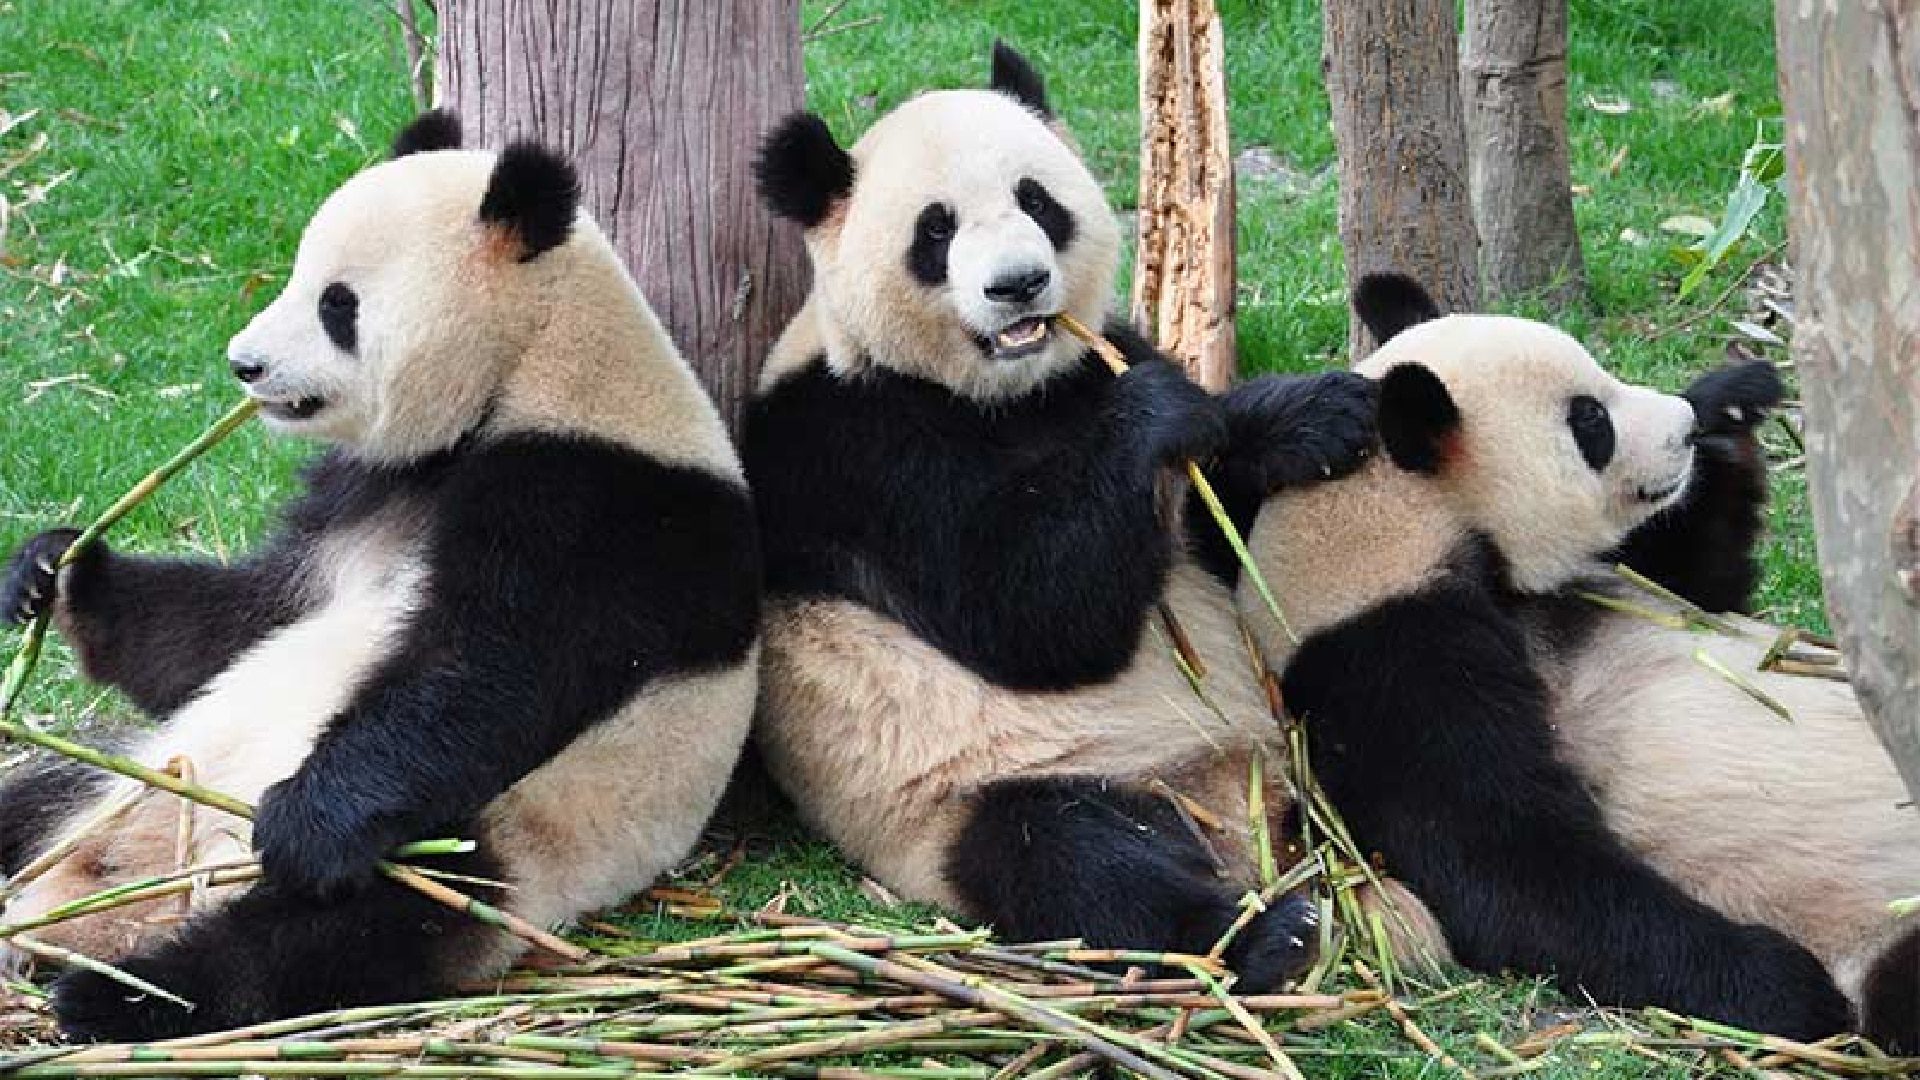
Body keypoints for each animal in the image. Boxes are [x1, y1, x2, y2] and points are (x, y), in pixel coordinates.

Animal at [0, 111, 761, 1042]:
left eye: (338, 305)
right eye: (296, 275)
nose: (244, 364)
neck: (532, 360)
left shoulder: (600, 503)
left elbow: (486, 673)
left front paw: (301, 822)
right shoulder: (363, 493)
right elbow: (239, 621)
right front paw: (56, 572)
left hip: (497, 836)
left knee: (330, 931)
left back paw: (123, 993)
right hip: (130, 769)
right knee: (34, 798)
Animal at [742, 43, 1394, 990]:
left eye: (1037, 201)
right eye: (935, 231)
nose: (1018, 285)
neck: (1003, 395)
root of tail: (1239, 815)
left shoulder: (1088, 363)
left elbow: (1206, 502)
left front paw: (1319, 414)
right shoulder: (848, 449)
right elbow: (1023, 612)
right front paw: (1154, 413)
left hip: (1288, 734)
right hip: (982, 796)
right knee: (1075, 858)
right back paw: (1265, 932)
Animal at [1206, 272, 1919, 1046]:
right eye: (1591, 423)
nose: (1680, 427)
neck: (1388, 512)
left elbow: (1702, 587)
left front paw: (1731, 404)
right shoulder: (1381, 653)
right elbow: (1500, 856)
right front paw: (1782, 984)